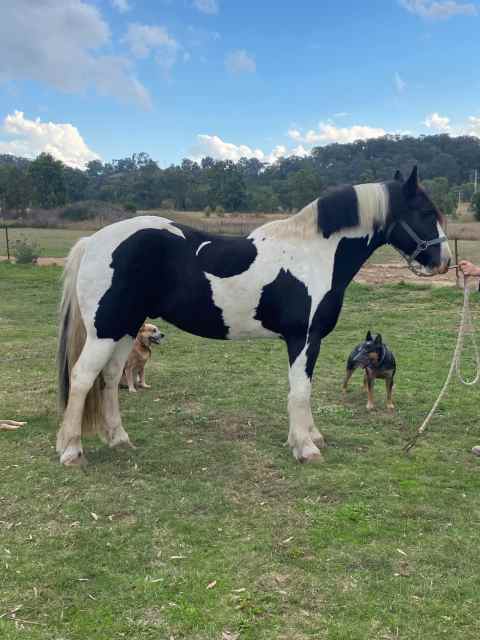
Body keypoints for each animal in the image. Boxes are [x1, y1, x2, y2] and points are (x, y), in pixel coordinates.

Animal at [56, 166, 451, 466]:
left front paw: (310, 436)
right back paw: (72, 451)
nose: (443, 260)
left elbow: (302, 389)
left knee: (110, 378)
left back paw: (119, 439)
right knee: (82, 378)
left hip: (124, 328)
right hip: (106, 330)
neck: (314, 254)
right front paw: (305, 447)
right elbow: (300, 390)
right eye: (426, 213)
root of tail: (93, 241)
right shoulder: (303, 338)